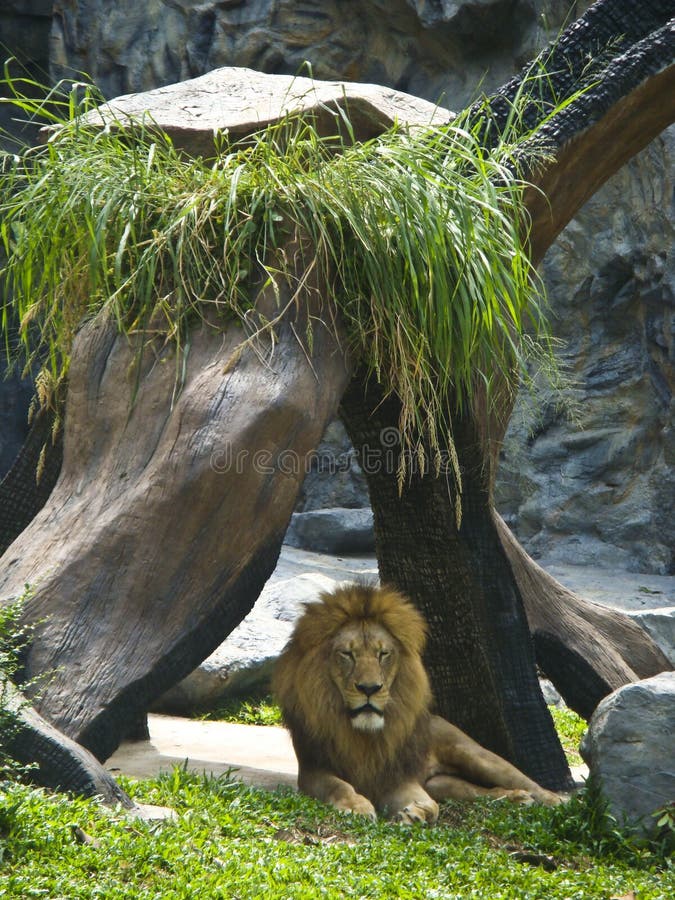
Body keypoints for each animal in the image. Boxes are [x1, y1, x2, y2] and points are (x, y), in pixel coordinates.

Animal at [273, 583, 563, 824]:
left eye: (383, 654)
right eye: (347, 654)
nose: (369, 689)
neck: (362, 735)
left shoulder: (396, 776)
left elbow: (430, 805)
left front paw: (416, 812)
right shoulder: (313, 769)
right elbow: (339, 785)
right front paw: (356, 806)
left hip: (476, 756)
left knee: (527, 782)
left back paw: (553, 801)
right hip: (443, 783)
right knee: (483, 792)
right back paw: (516, 798)